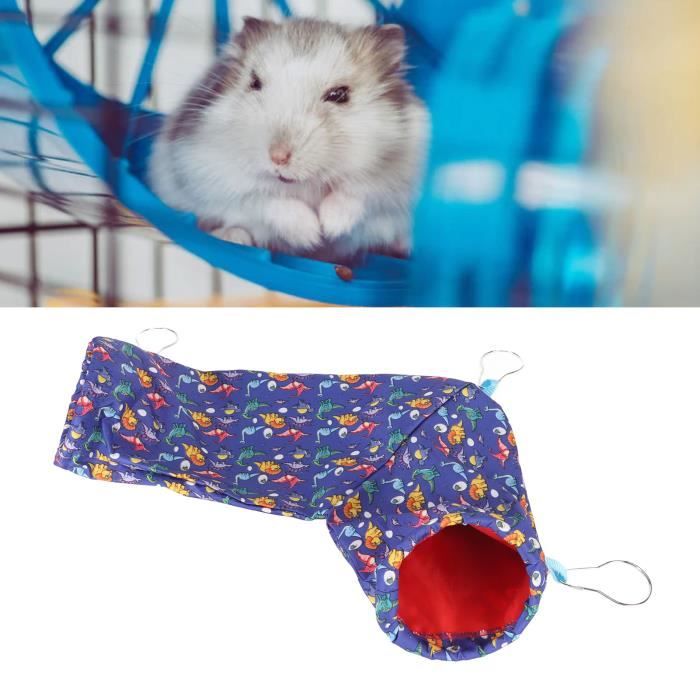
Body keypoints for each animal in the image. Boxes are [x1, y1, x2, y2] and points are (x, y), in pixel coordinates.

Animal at [148, 17, 429, 264]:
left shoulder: (399, 179)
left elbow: (359, 193)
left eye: (339, 95)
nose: (278, 157)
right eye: (254, 82)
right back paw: (234, 237)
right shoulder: (202, 169)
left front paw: (330, 227)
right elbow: (262, 199)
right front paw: (312, 234)